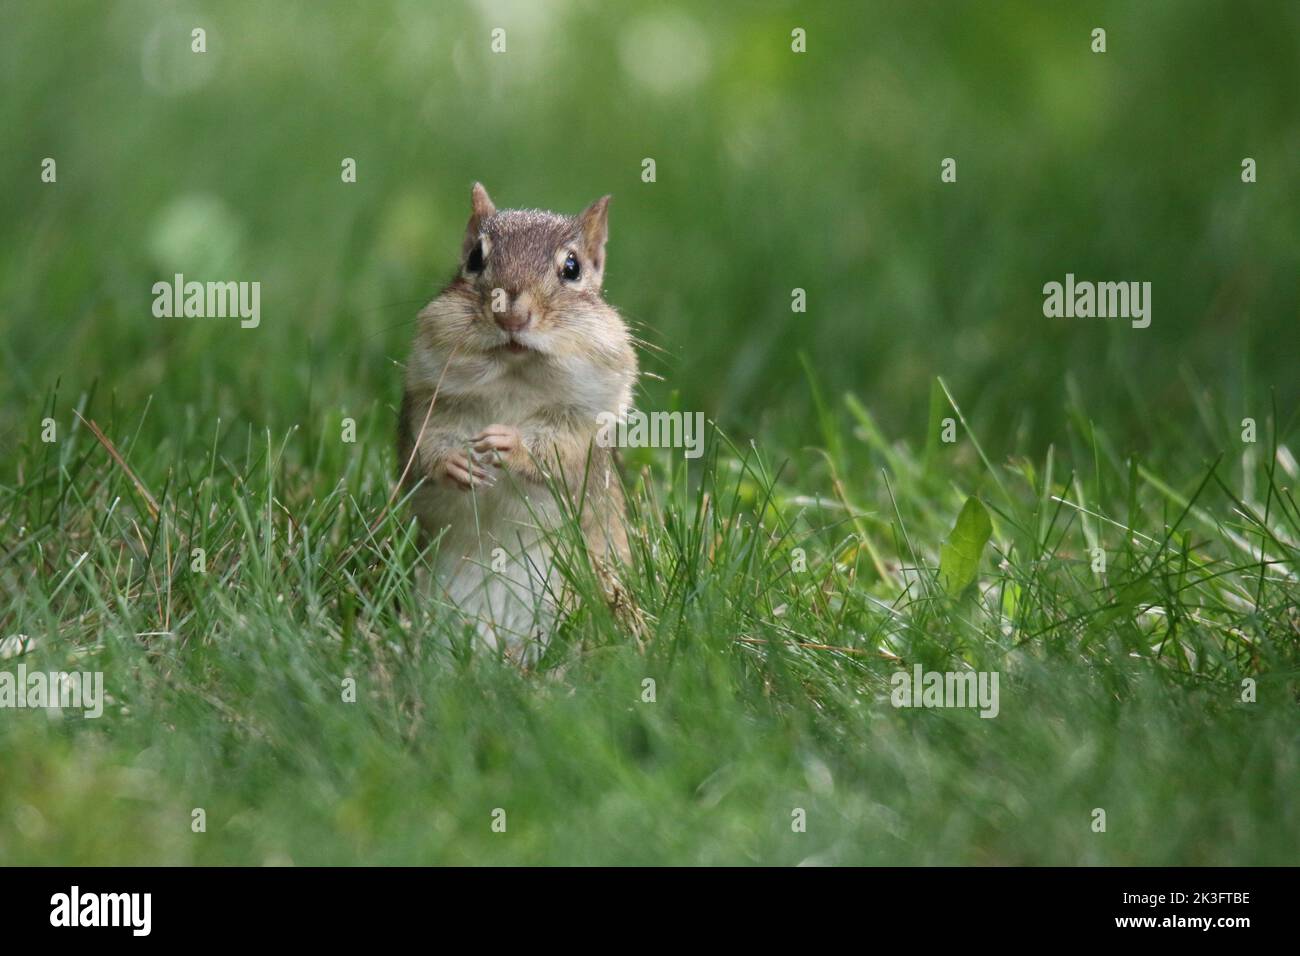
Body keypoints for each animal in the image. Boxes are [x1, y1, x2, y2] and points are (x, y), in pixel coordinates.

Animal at [397, 183, 641, 660]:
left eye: (572, 267)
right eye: (475, 258)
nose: (510, 315)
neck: (515, 379)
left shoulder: (585, 424)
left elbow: (562, 453)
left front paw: (511, 444)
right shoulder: (426, 402)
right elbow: (425, 445)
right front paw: (453, 462)